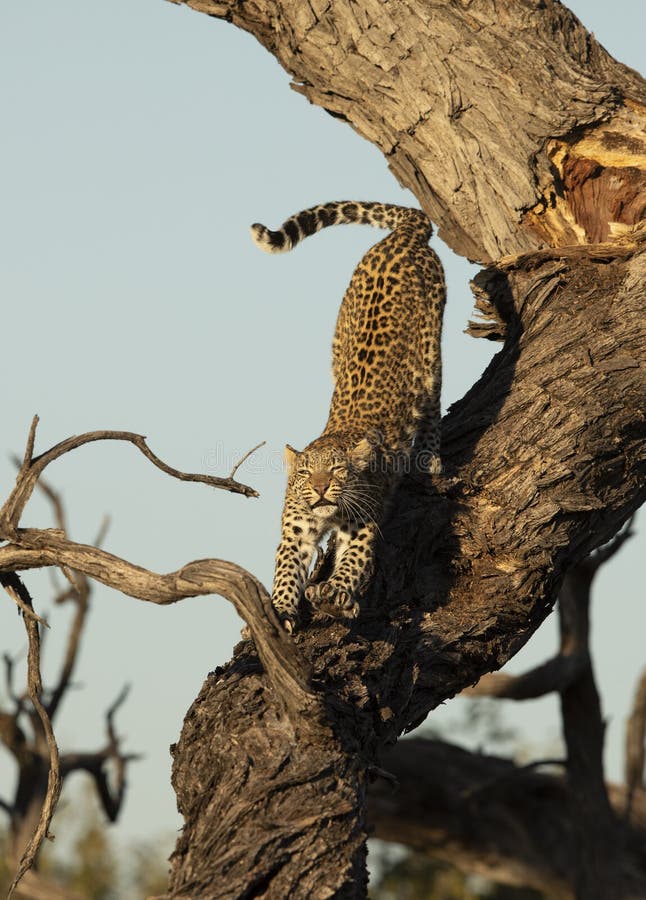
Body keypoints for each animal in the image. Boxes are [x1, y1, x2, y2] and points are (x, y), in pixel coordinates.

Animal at [251, 201, 446, 632]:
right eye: (307, 474)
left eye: (339, 470)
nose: (322, 488)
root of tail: (403, 235)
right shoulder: (296, 532)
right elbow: (285, 571)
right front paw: (282, 610)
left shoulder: (362, 521)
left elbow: (354, 560)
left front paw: (337, 594)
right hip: (339, 335)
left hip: (430, 350)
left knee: (432, 401)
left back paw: (429, 458)